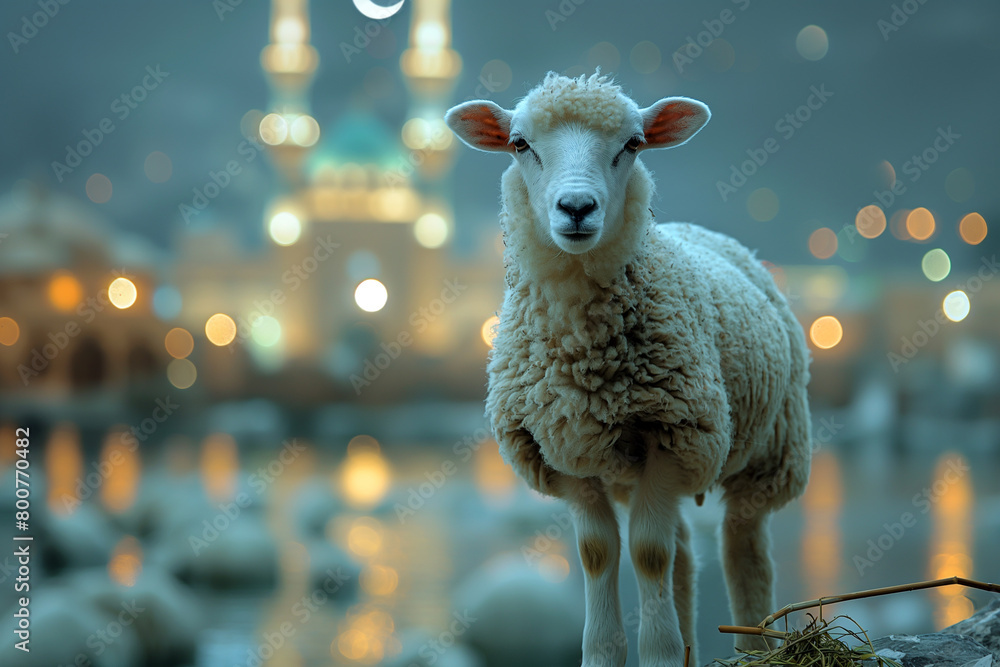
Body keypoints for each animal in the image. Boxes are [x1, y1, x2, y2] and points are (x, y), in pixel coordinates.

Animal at [445, 71, 812, 667]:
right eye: (520, 144)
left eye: (633, 144)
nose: (576, 207)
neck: (585, 360)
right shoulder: (563, 449)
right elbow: (598, 552)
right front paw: (606, 653)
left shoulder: (672, 434)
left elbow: (647, 553)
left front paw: (658, 652)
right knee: (684, 551)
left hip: (769, 449)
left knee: (742, 544)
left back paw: (755, 640)